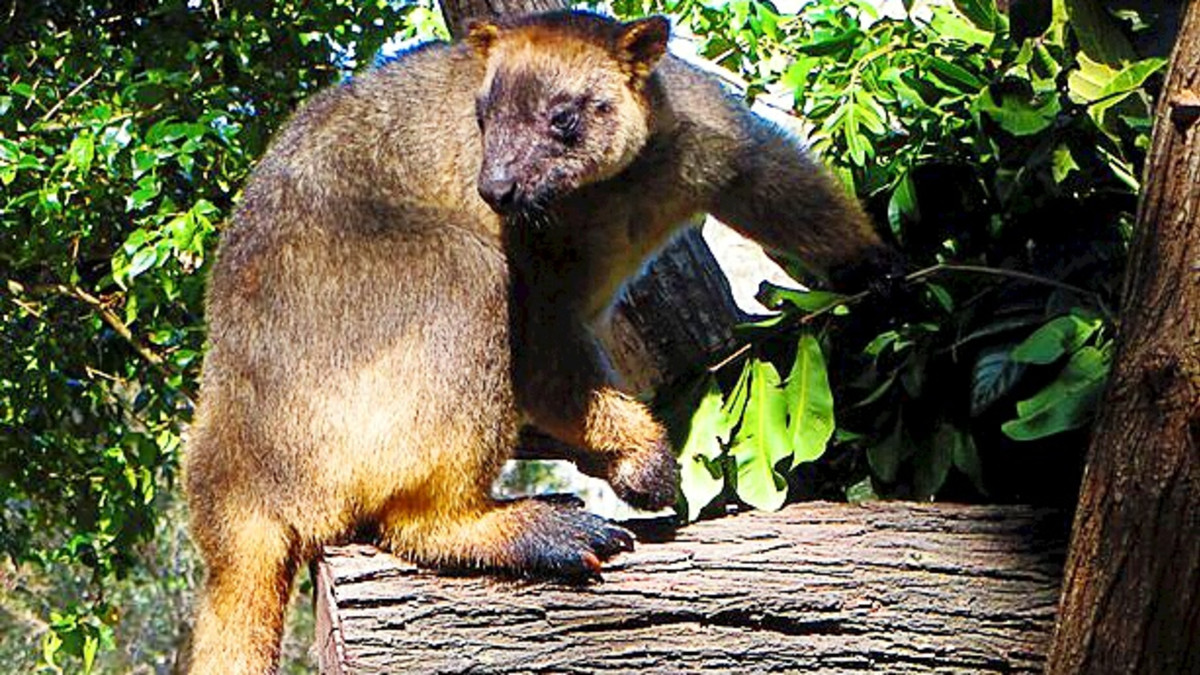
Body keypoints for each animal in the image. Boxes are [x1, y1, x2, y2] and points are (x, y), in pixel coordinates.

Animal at [183, 10, 901, 673]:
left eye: (563, 119)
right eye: (480, 119)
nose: (494, 187)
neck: (611, 186)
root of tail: (234, 477)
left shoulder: (708, 130)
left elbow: (778, 183)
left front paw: (878, 273)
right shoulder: (532, 252)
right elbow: (542, 350)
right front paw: (646, 461)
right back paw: (523, 529)